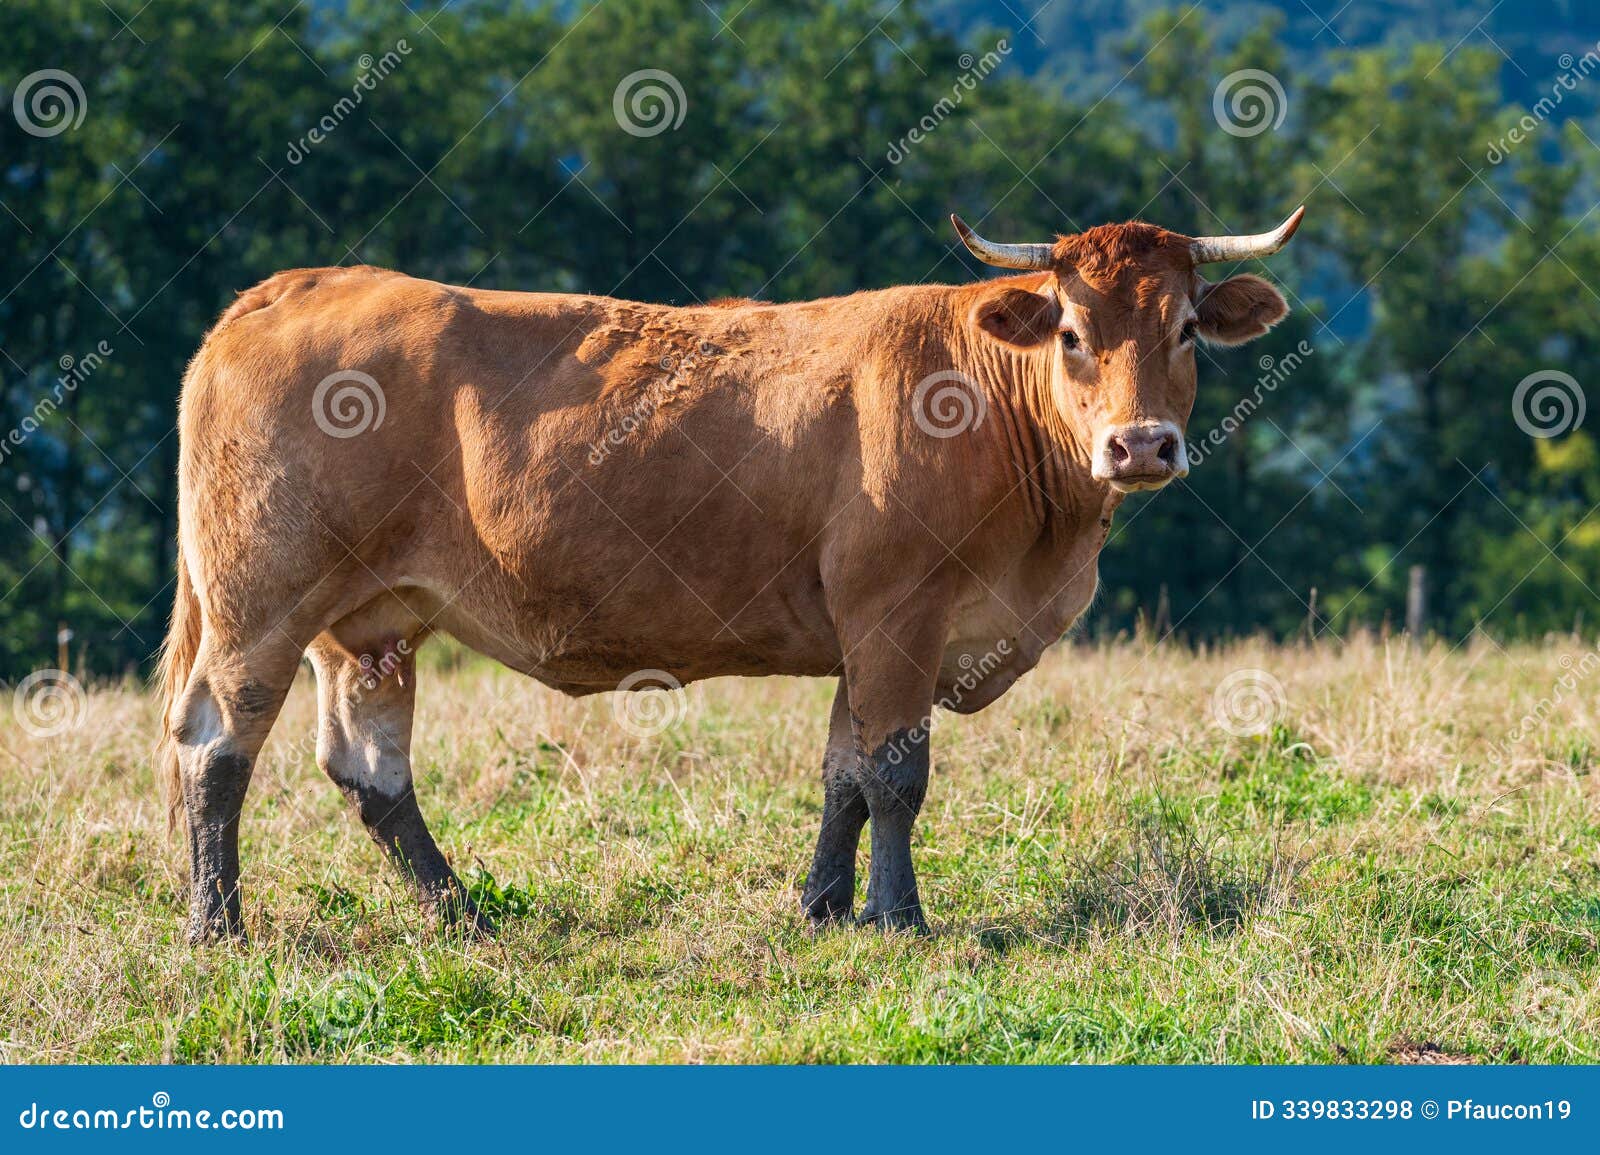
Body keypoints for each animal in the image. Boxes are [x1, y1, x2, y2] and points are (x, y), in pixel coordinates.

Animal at [156, 206, 1304, 943]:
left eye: (1186, 328)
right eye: (1069, 332)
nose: (1141, 446)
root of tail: (301, 284)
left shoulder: (869, 631)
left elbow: (845, 775)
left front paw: (825, 909)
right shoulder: (898, 611)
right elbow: (896, 775)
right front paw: (900, 919)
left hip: (371, 621)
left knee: (372, 771)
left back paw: (464, 914)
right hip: (260, 599)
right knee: (215, 743)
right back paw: (222, 926)